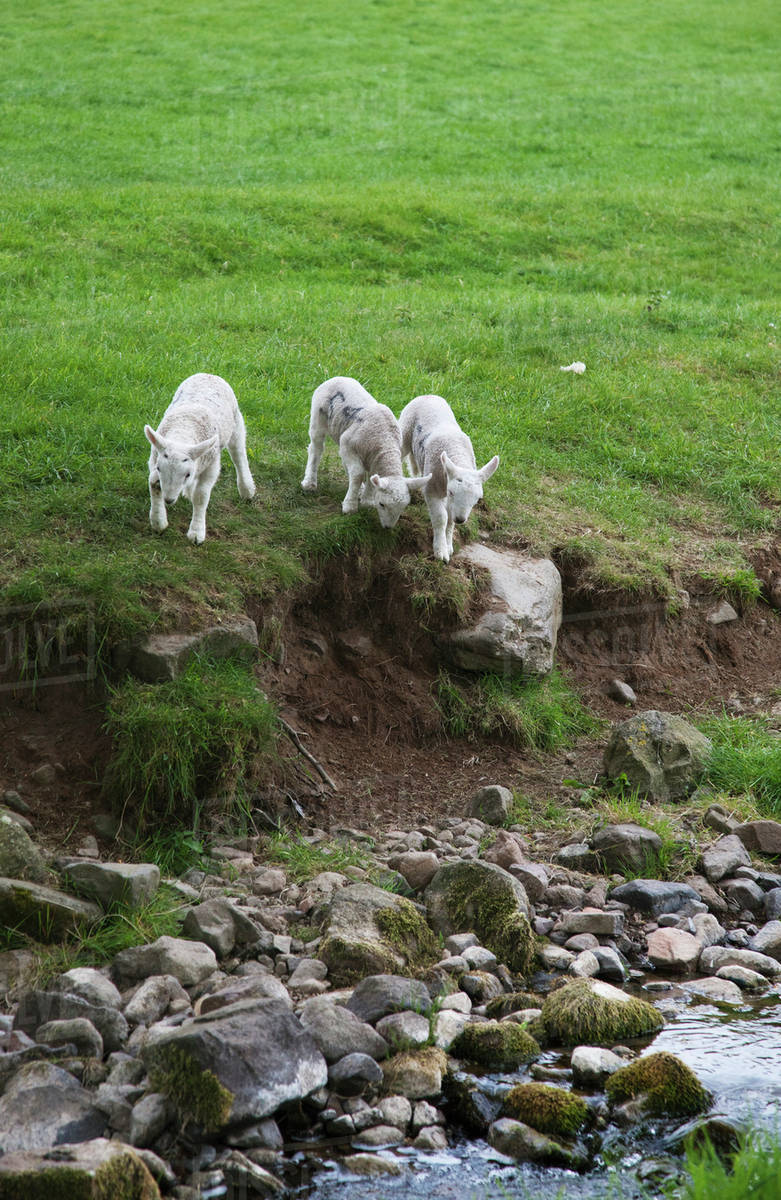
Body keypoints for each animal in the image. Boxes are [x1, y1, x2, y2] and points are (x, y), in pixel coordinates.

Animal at [144, 372, 256, 544]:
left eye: (187, 474)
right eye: (159, 468)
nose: (168, 500)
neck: (183, 431)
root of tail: (209, 374)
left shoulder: (212, 465)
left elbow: (201, 496)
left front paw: (196, 532)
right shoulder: (155, 458)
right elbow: (154, 484)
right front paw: (158, 521)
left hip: (236, 425)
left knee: (239, 455)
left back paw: (247, 489)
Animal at [301, 376, 431, 528]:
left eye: (404, 507)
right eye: (382, 504)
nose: (388, 528)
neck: (385, 442)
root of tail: (336, 378)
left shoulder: (372, 456)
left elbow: (370, 476)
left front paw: (367, 500)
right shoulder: (347, 445)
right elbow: (358, 474)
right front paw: (350, 506)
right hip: (318, 417)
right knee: (316, 448)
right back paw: (309, 482)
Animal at [399, 393, 499, 563]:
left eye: (478, 499)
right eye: (452, 492)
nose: (461, 519)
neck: (456, 451)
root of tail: (428, 395)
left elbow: (450, 520)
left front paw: (448, 544)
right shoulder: (431, 490)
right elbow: (441, 518)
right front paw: (440, 551)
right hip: (405, 431)